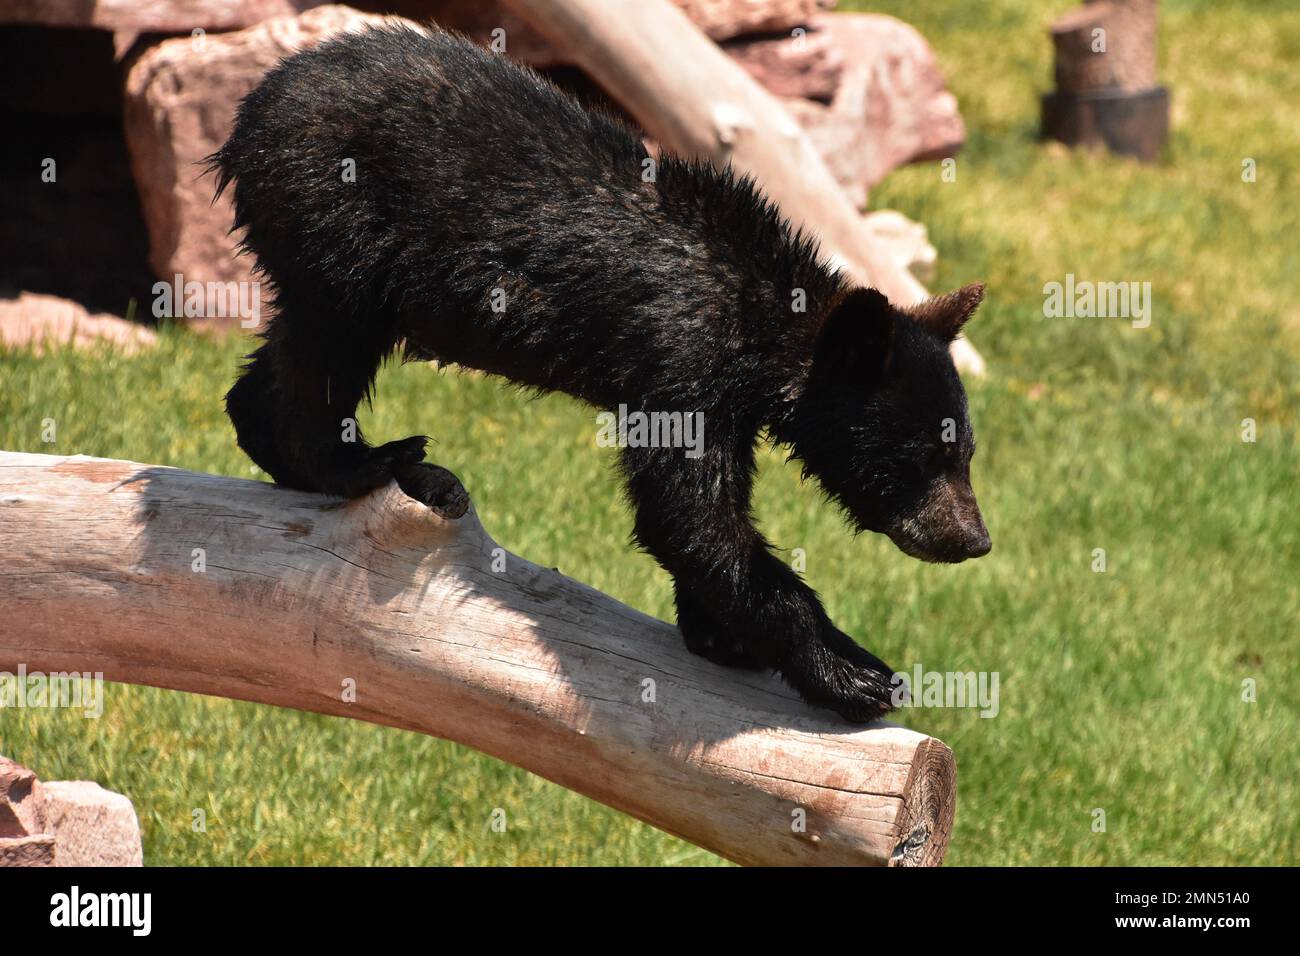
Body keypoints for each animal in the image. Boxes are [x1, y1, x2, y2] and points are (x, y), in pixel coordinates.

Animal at [211, 24, 991, 723]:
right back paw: (368, 463)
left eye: (966, 451)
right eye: (924, 457)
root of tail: (255, 104)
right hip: (335, 216)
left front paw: (719, 635)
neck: (759, 313)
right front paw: (853, 671)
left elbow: (700, 517)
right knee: (327, 347)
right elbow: (691, 516)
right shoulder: (682, 358)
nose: (973, 539)